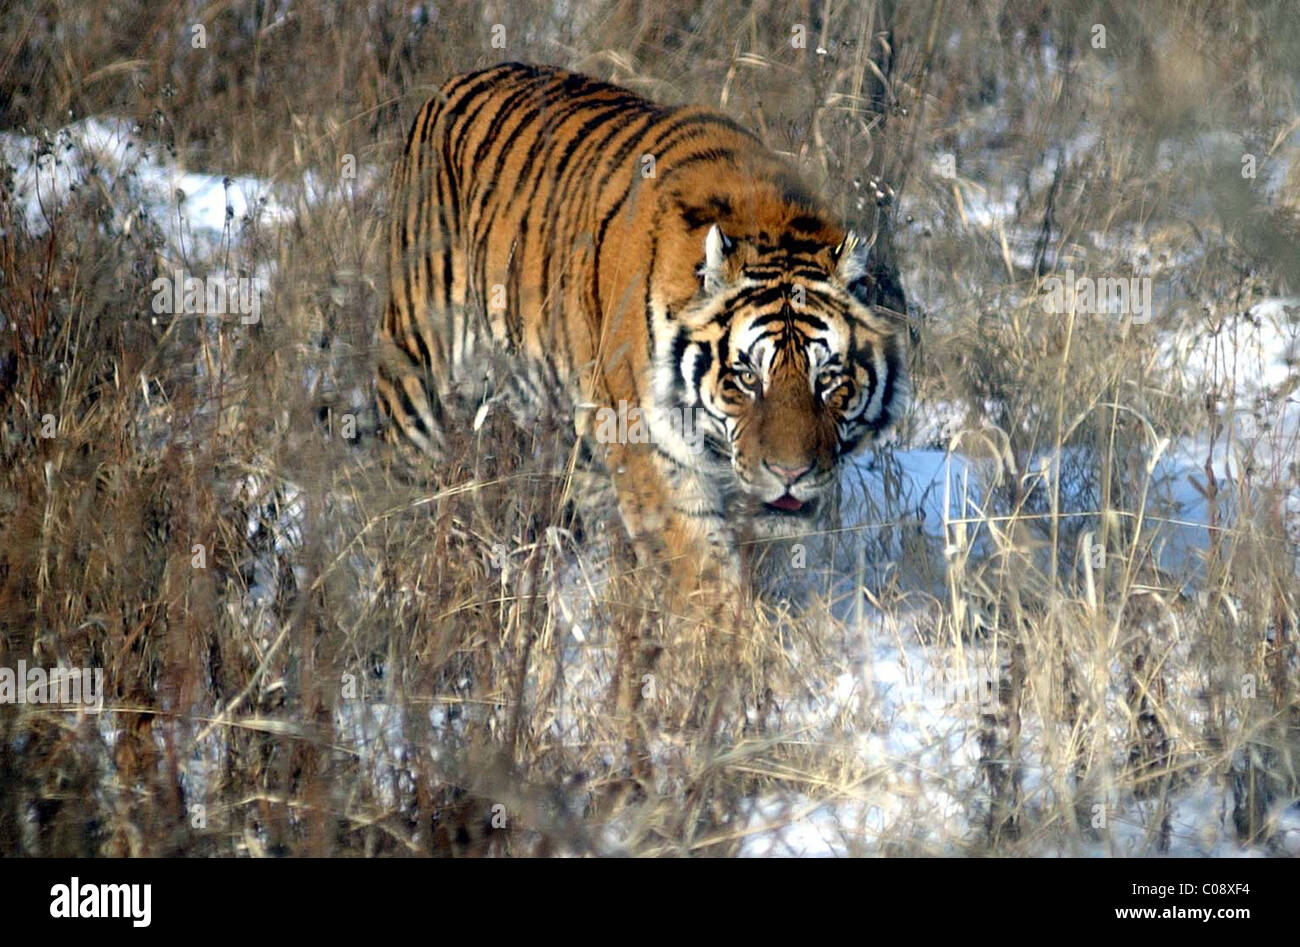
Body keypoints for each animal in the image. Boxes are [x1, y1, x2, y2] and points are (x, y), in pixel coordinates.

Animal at [379, 61, 907, 598]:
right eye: (746, 378)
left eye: (828, 379)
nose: (789, 474)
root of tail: (456, 81)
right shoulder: (652, 454)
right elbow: (703, 577)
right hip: (418, 376)